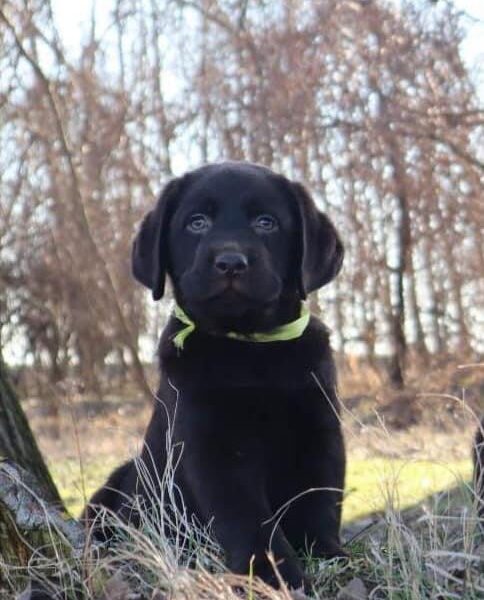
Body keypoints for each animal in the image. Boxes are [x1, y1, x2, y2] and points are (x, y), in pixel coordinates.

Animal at [85, 161, 346, 592]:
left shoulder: (320, 430)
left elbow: (320, 500)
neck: (249, 348)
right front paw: (275, 575)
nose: (230, 262)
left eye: (266, 222)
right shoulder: (213, 448)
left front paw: (328, 555)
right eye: (197, 223)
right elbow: (248, 520)